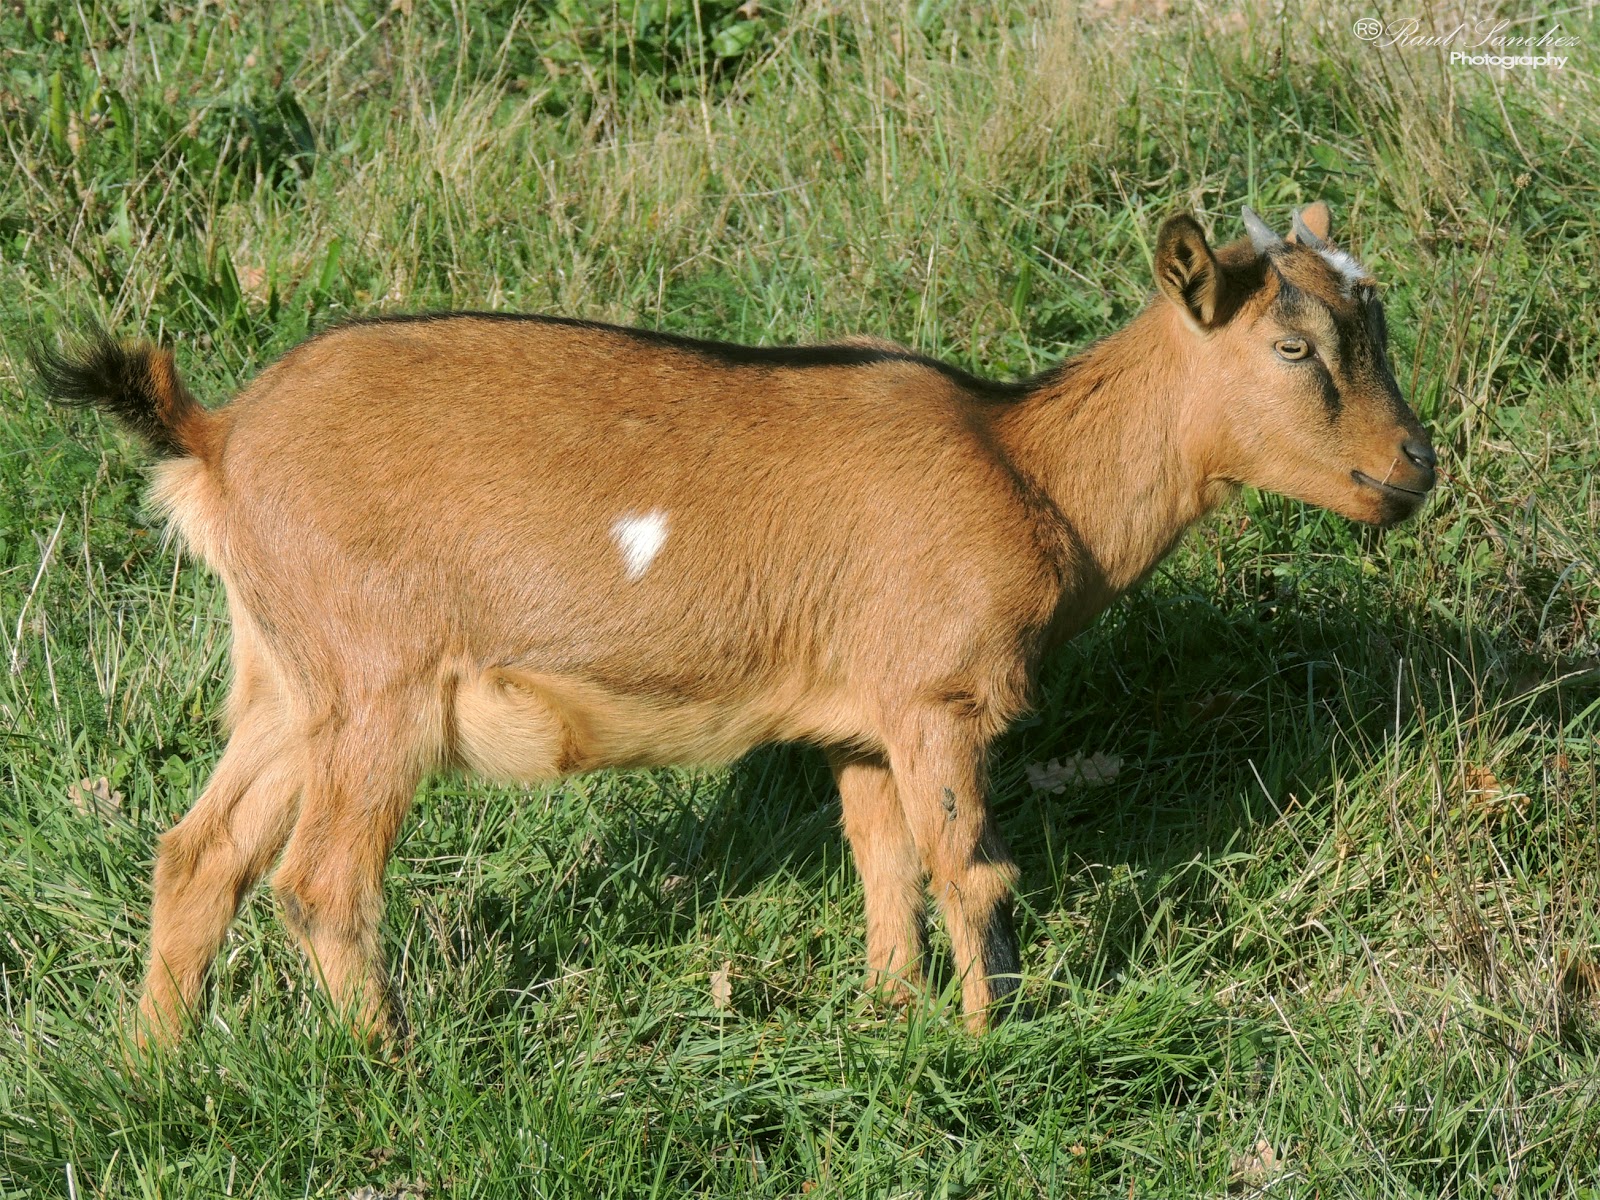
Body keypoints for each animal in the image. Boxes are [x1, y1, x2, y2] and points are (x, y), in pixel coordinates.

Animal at [34, 202, 1435, 1047]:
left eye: (1373, 322)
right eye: (1295, 347)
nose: (1412, 468)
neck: (1028, 464)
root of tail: (215, 439)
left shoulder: (864, 722)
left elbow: (885, 867)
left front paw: (886, 1018)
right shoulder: (938, 696)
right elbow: (970, 867)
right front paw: (992, 1042)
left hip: (286, 679)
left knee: (197, 854)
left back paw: (161, 1067)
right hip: (379, 684)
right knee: (320, 879)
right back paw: (393, 1064)